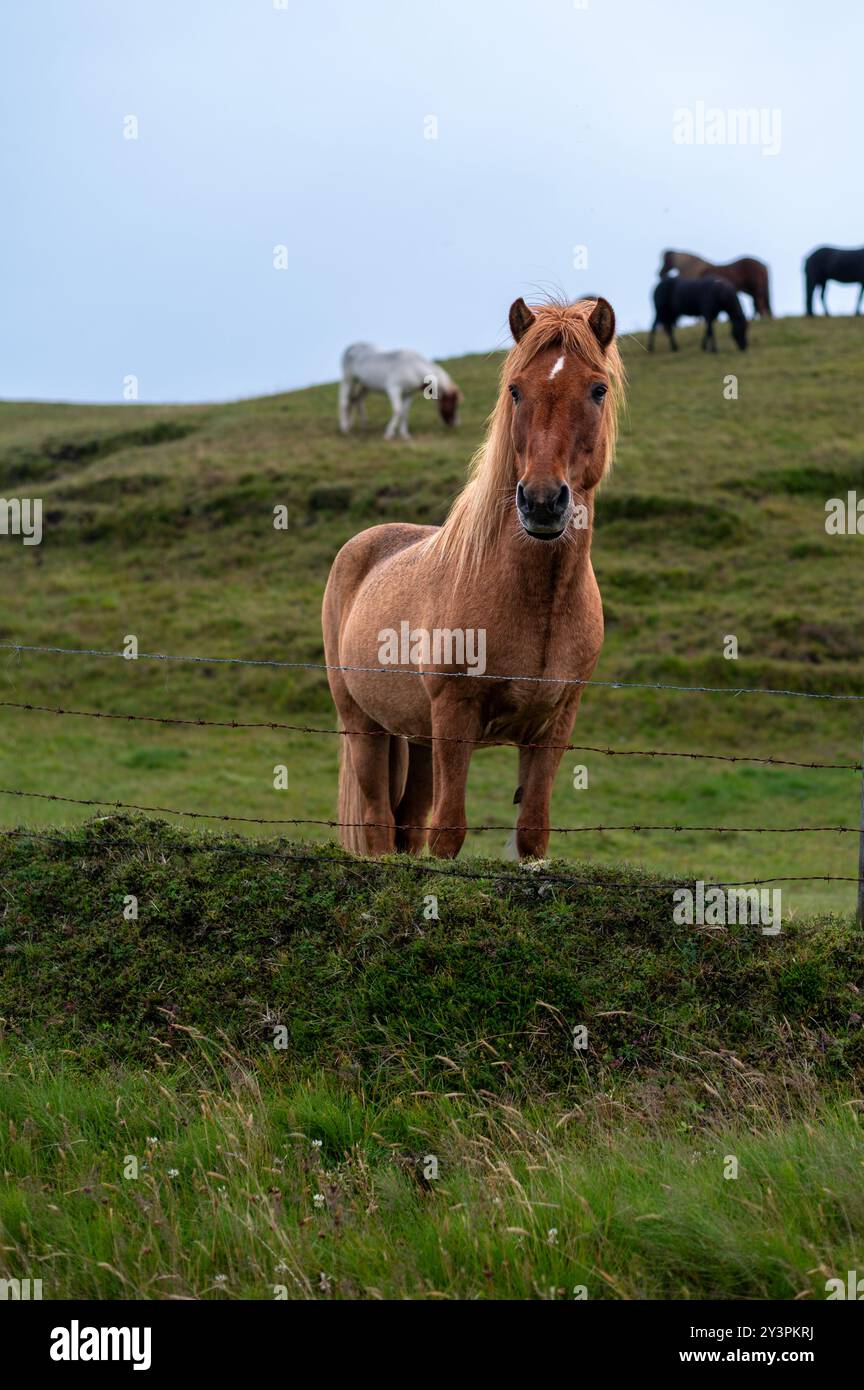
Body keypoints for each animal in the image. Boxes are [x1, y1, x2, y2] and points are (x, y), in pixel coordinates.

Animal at [322, 296, 624, 860]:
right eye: (515, 389)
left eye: (598, 389)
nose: (543, 501)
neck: (538, 601)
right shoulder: (455, 715)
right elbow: (448, 834)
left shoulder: (553, 725)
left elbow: (532, 834)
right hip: (364, 725)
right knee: (378, 824)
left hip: (417, 738)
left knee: (406, 823)